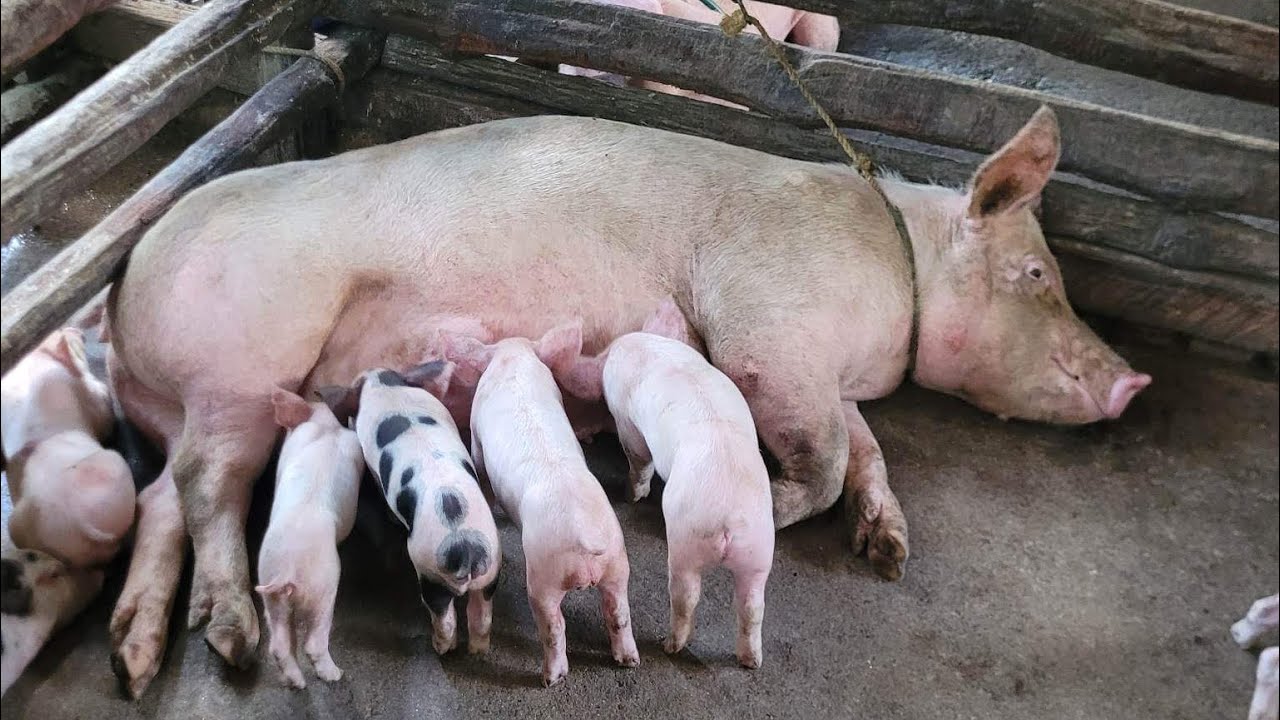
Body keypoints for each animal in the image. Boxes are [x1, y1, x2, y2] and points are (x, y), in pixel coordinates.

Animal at [1, 327, 135, 568]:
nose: (77, 330)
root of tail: (81, 522)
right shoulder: (92, 399)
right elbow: (103, 409)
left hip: (16, 523)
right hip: (113, 463)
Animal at [254, 389, 364, 688]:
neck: (326, 429)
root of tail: (288, 570)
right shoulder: (353, 446)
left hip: (270, 586)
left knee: (279, 644)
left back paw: (296, 682)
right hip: (323, 586)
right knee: (314, 642)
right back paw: (334, 675)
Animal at [318, 361, 501, 656]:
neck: (386, 387)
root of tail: (466, 548)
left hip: (430, 570)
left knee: (443, 615)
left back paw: (441, 648)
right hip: (491, 567)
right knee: (482, 614)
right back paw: (477, 650)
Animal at [437, 324, 640, 686]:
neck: (514, 358)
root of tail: (584, 536)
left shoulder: (476, 433)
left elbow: (481, 467)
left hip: (544, 574)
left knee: (554, 625)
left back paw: (551, 678)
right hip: (617, 561)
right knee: (618, 610)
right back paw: (629, 660)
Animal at [588, 300, 773, 668]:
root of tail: (728, 517)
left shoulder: (626, 420)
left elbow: (638, 457)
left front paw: (632, 496)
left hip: (686, 537)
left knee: (686, 595)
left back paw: (670, 646)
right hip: (759, 547)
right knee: (752, 605)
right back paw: (751, 661)